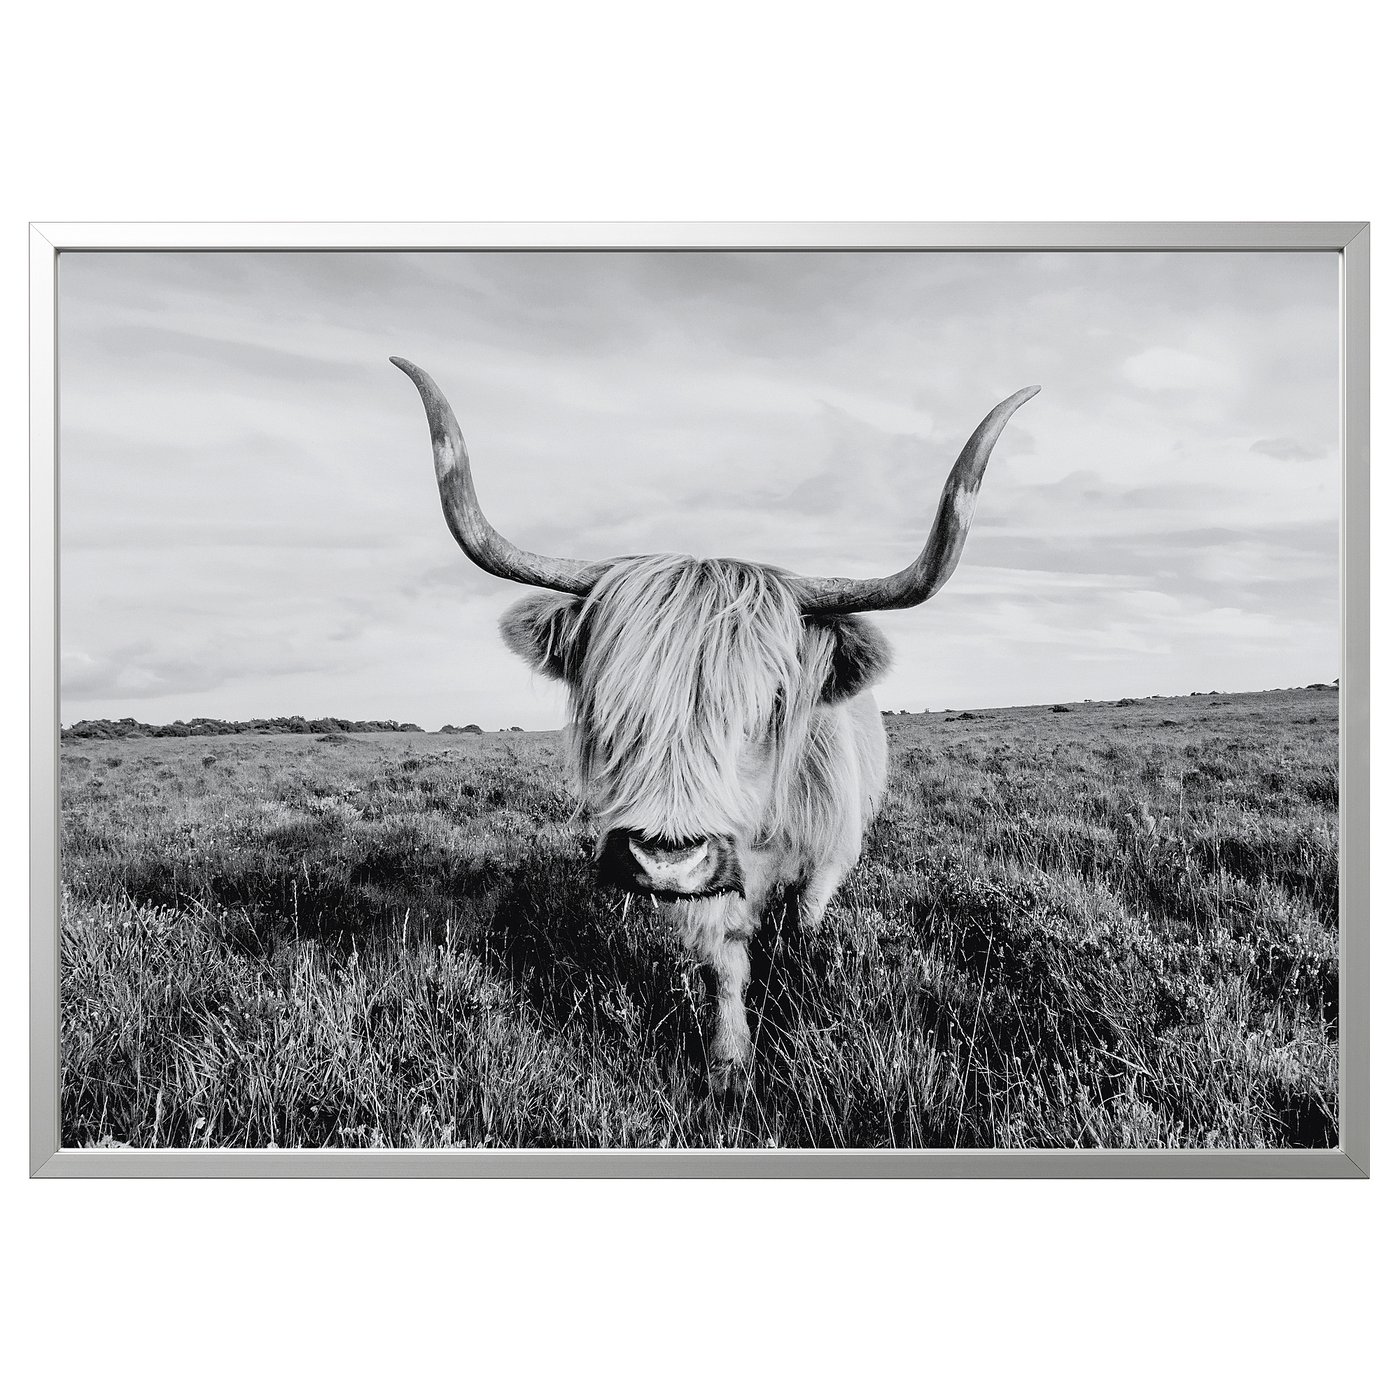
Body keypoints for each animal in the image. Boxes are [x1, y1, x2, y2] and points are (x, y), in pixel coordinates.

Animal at [393, 357, 1037, 1089]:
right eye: (610, 701)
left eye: (770, 704)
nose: (665, 860)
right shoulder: (711, 894)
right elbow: (724, 963)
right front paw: (729, 1062)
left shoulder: (825, 862)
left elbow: (800, 933)